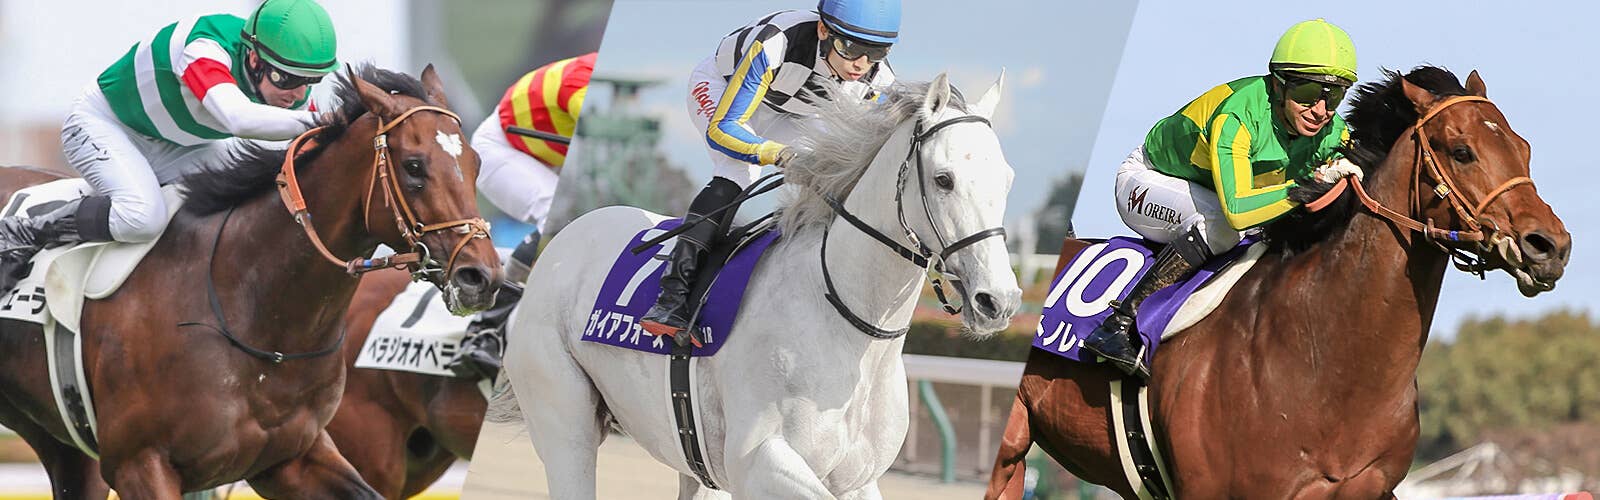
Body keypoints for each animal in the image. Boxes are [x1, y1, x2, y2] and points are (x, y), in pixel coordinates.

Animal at [500, 73, 1021, 499]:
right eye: (944, 179)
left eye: (1007, 180)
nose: (999, 300)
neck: (845, 321)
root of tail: (566, 238)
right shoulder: (760, 462)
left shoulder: (857, 478)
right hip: (563, 418)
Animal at [985, 66, 1571, 499]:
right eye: (1461, 150)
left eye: (1523, 148)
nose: (1550, 245)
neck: (1323, 356)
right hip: (1010, 448)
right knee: (1215, 223)